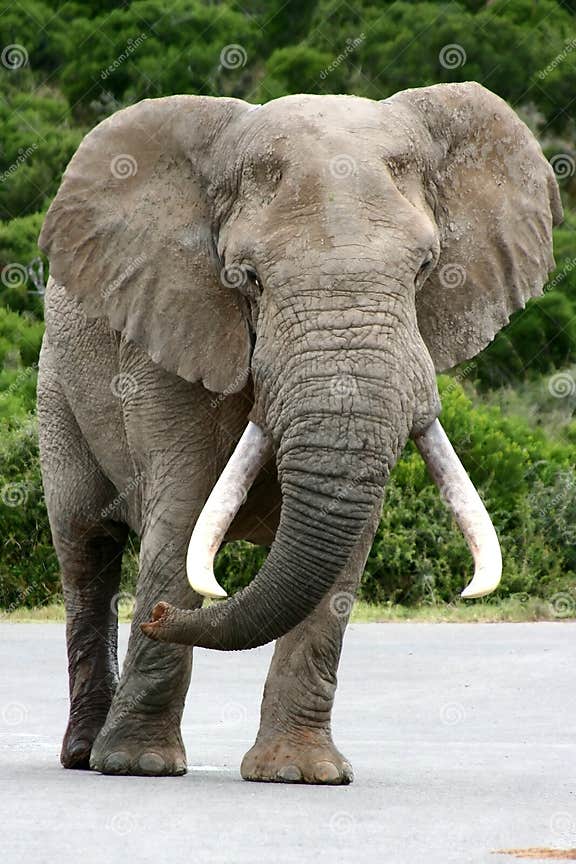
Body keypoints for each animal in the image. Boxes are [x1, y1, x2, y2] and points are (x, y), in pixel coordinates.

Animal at [37, 82, 562, 783]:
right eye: (246, 278)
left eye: (425, 270)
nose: (157, 620)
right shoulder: (165, 340)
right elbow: (179, 519)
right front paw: (138, 764)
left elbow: (344, 556)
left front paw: (300, 773)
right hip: (57, 388)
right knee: (84, 547)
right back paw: (84, 755)